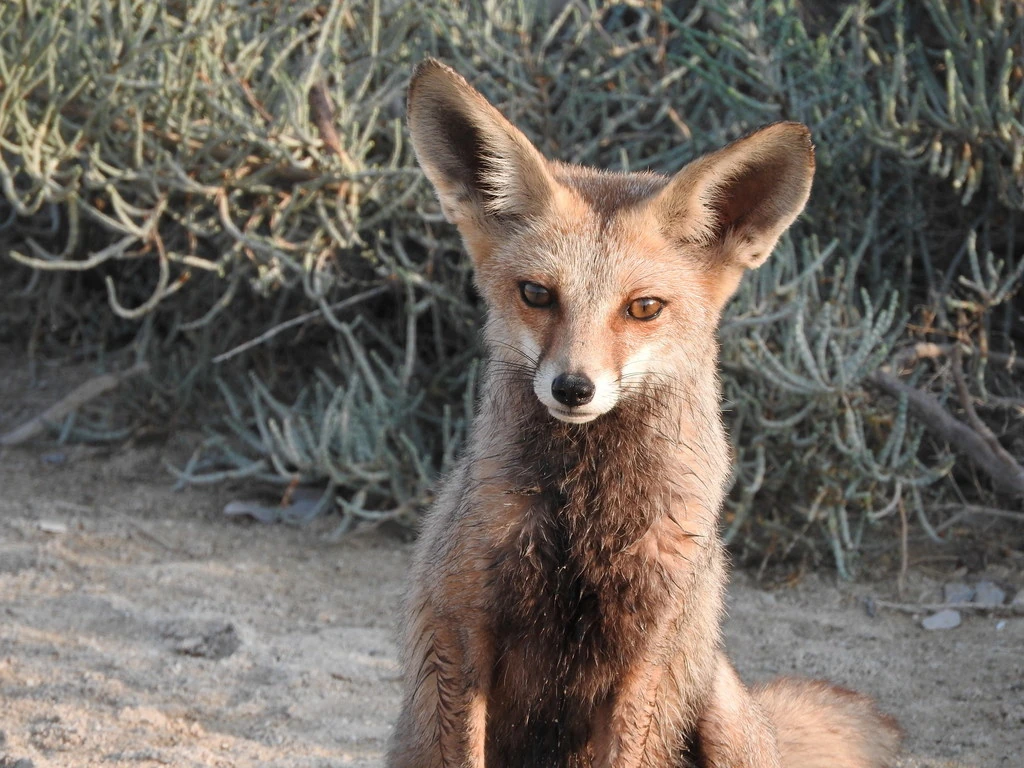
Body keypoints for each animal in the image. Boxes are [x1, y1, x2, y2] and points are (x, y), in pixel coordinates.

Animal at [389, 58, 902, 768]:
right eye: (536, 294)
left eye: (644, 308)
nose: (572, 388)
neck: (586, 518)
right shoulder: (463, 623)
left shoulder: (649, 650)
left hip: (717, 705)